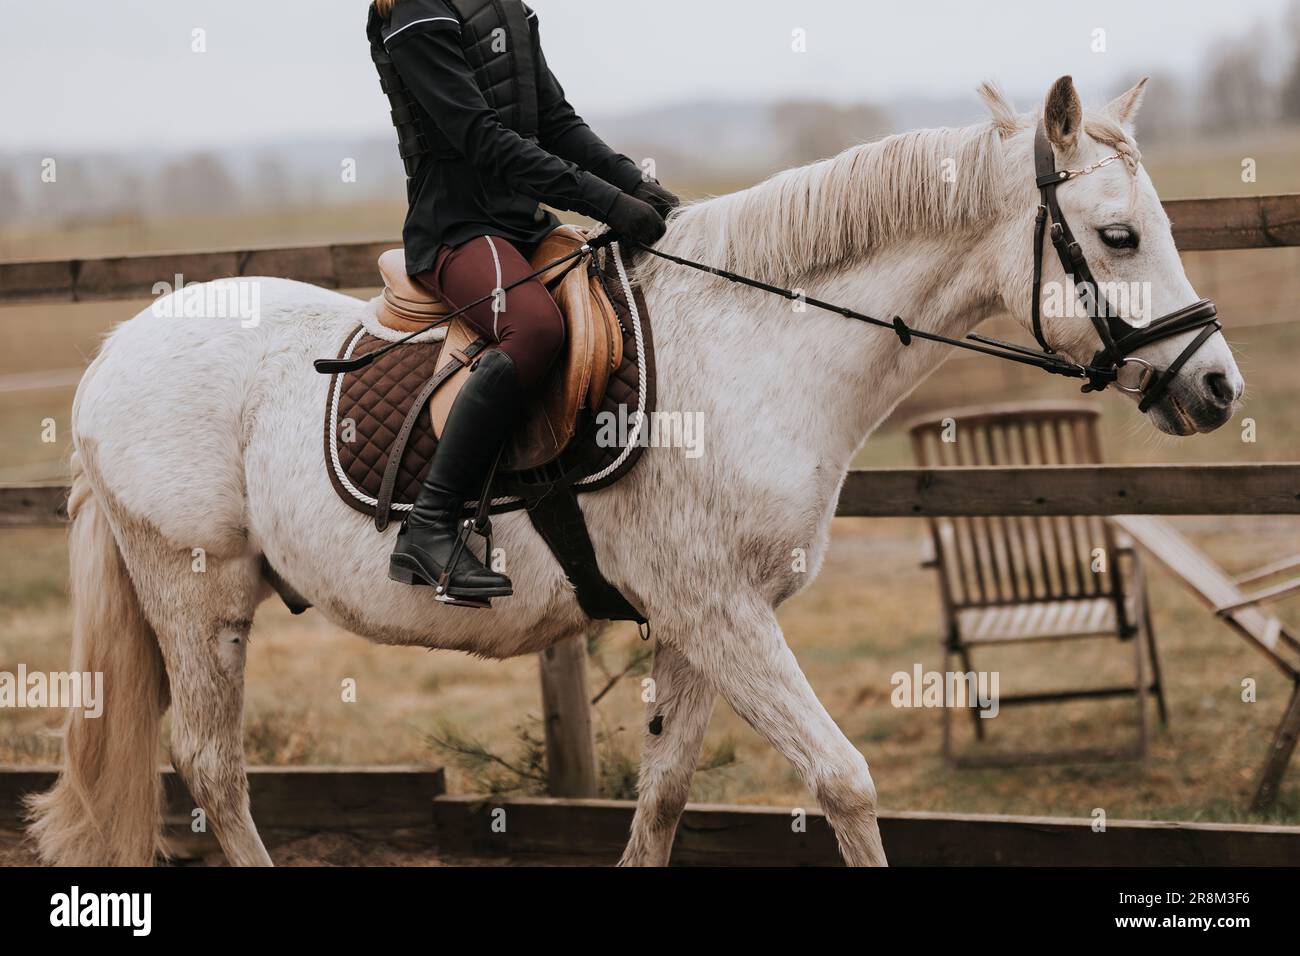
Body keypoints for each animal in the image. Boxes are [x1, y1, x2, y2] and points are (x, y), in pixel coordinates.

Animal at [28, 76, 1243, 867]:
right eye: (1119, 236)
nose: (1217, 387)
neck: (757, 346)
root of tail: (116, 349)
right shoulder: (719, 609)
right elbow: (843, 779)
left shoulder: (701, 619)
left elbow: (661, 798)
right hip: (197, 594)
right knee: (211, 766)